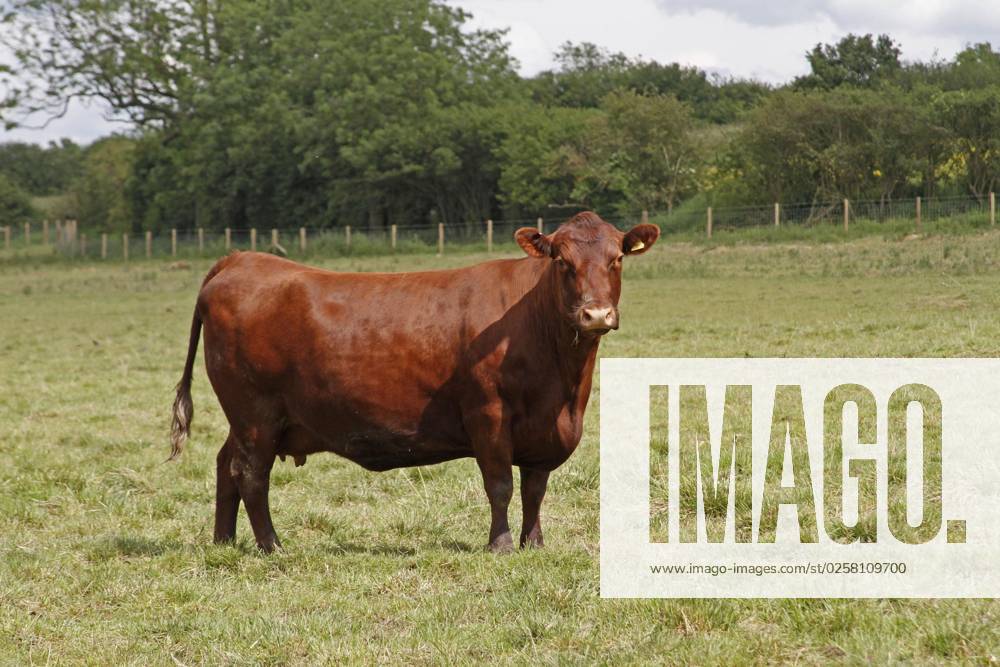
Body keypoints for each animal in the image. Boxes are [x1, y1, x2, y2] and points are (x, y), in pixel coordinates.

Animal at [169, 211, 659, 553]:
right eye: (561, 260)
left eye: (617, 259)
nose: (595, 314)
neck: (562, 383)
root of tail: (242, 260)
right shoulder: (488, 414)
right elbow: (500, 484)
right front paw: (500, 544)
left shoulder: (545, 429)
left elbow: (534, 489)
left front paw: (533, 544)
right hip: (256, 414)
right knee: (251, 474)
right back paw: (273, 546)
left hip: (248, 420)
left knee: (226, 466)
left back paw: (224, 542)